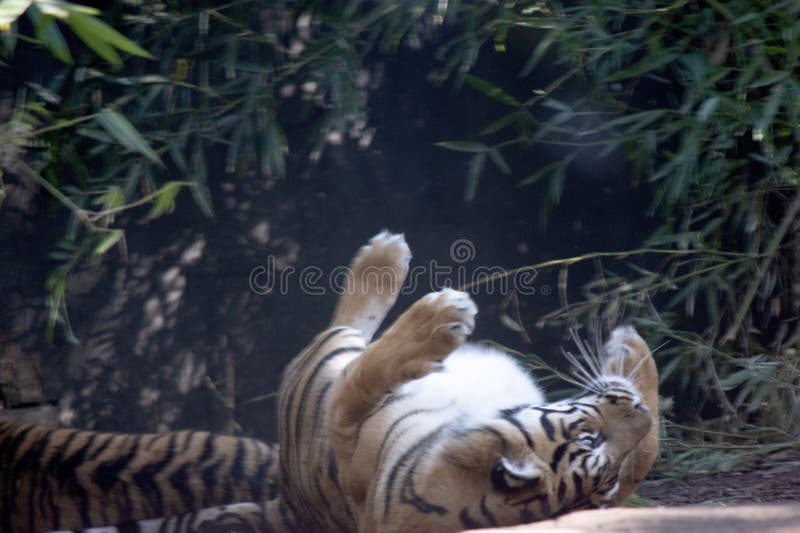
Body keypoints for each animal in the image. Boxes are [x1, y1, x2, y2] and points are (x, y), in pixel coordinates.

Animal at [88, 230, 659, 533]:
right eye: (591, 440)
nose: (637, 409)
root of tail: (288, 500)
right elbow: (648, 450)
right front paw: (633, 353)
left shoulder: (341, 421)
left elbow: (368, 370)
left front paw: (437, 319)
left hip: (316, 373)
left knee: (347, 330)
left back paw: (386, 259)